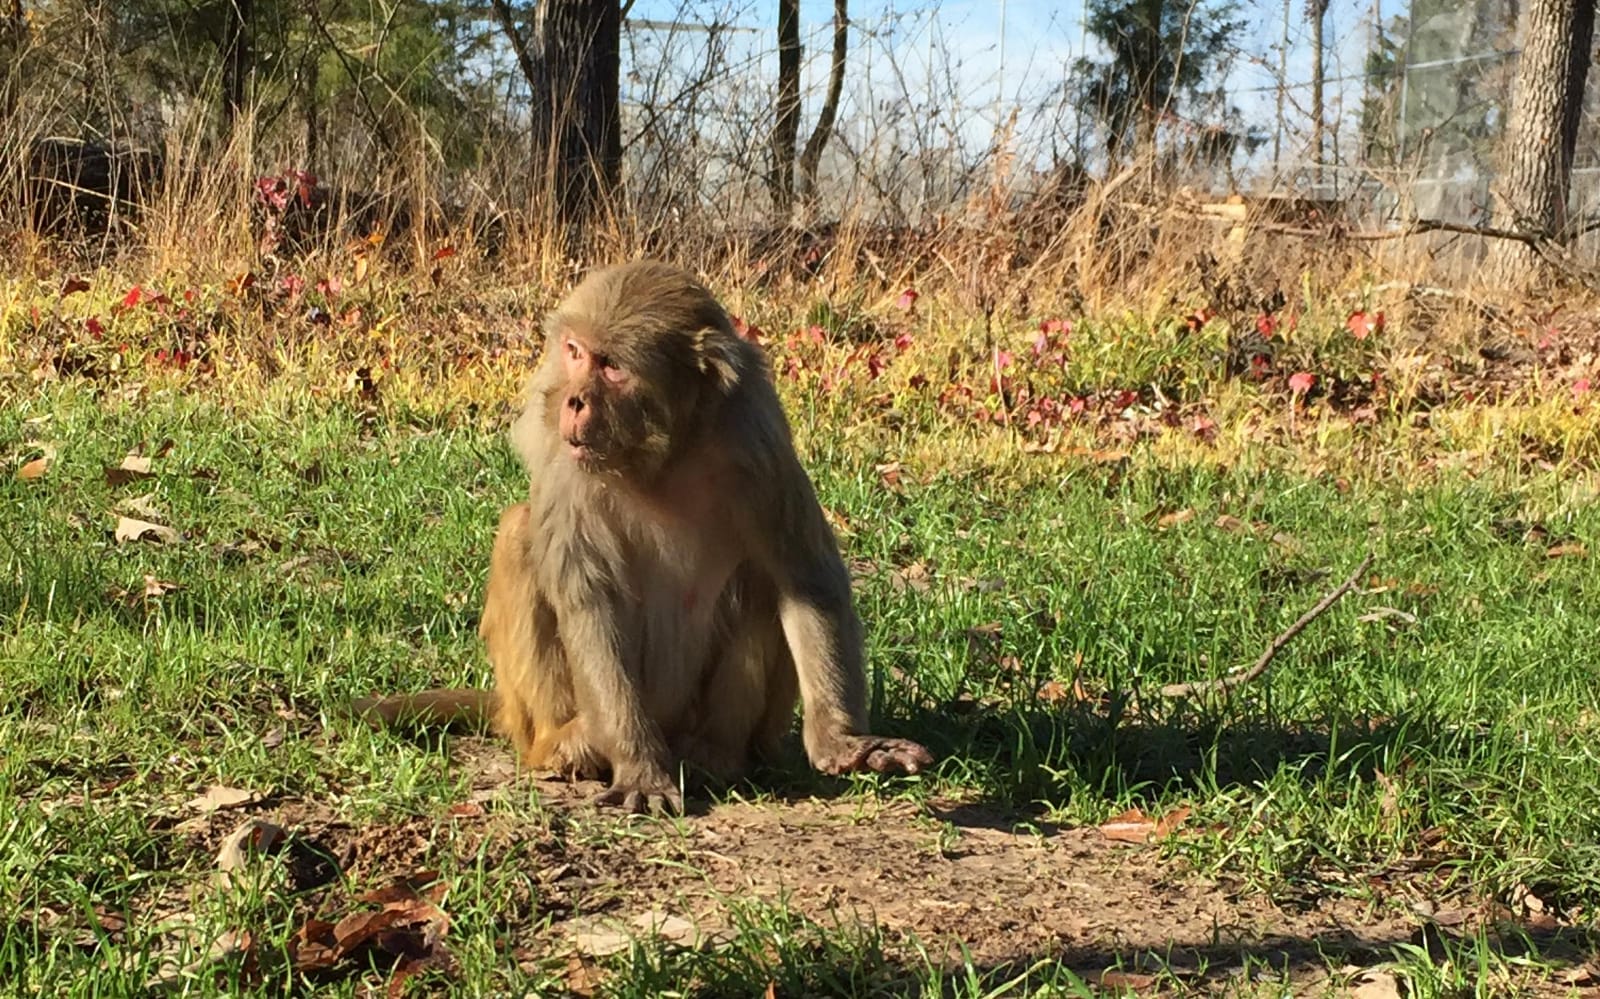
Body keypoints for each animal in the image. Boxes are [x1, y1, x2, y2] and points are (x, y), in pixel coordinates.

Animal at [353, 260, 934, 813]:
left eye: (611, 367)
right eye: (574, 353)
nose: (574, 401)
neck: (663, 453)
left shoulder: (757, 438)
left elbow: (806, 578)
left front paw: (846, 743)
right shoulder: (569, 462)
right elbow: (589, 602)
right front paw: (638, 769)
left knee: (759, 579)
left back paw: (714, 756)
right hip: (552, 713)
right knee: (521, 535)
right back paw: (570, 747)